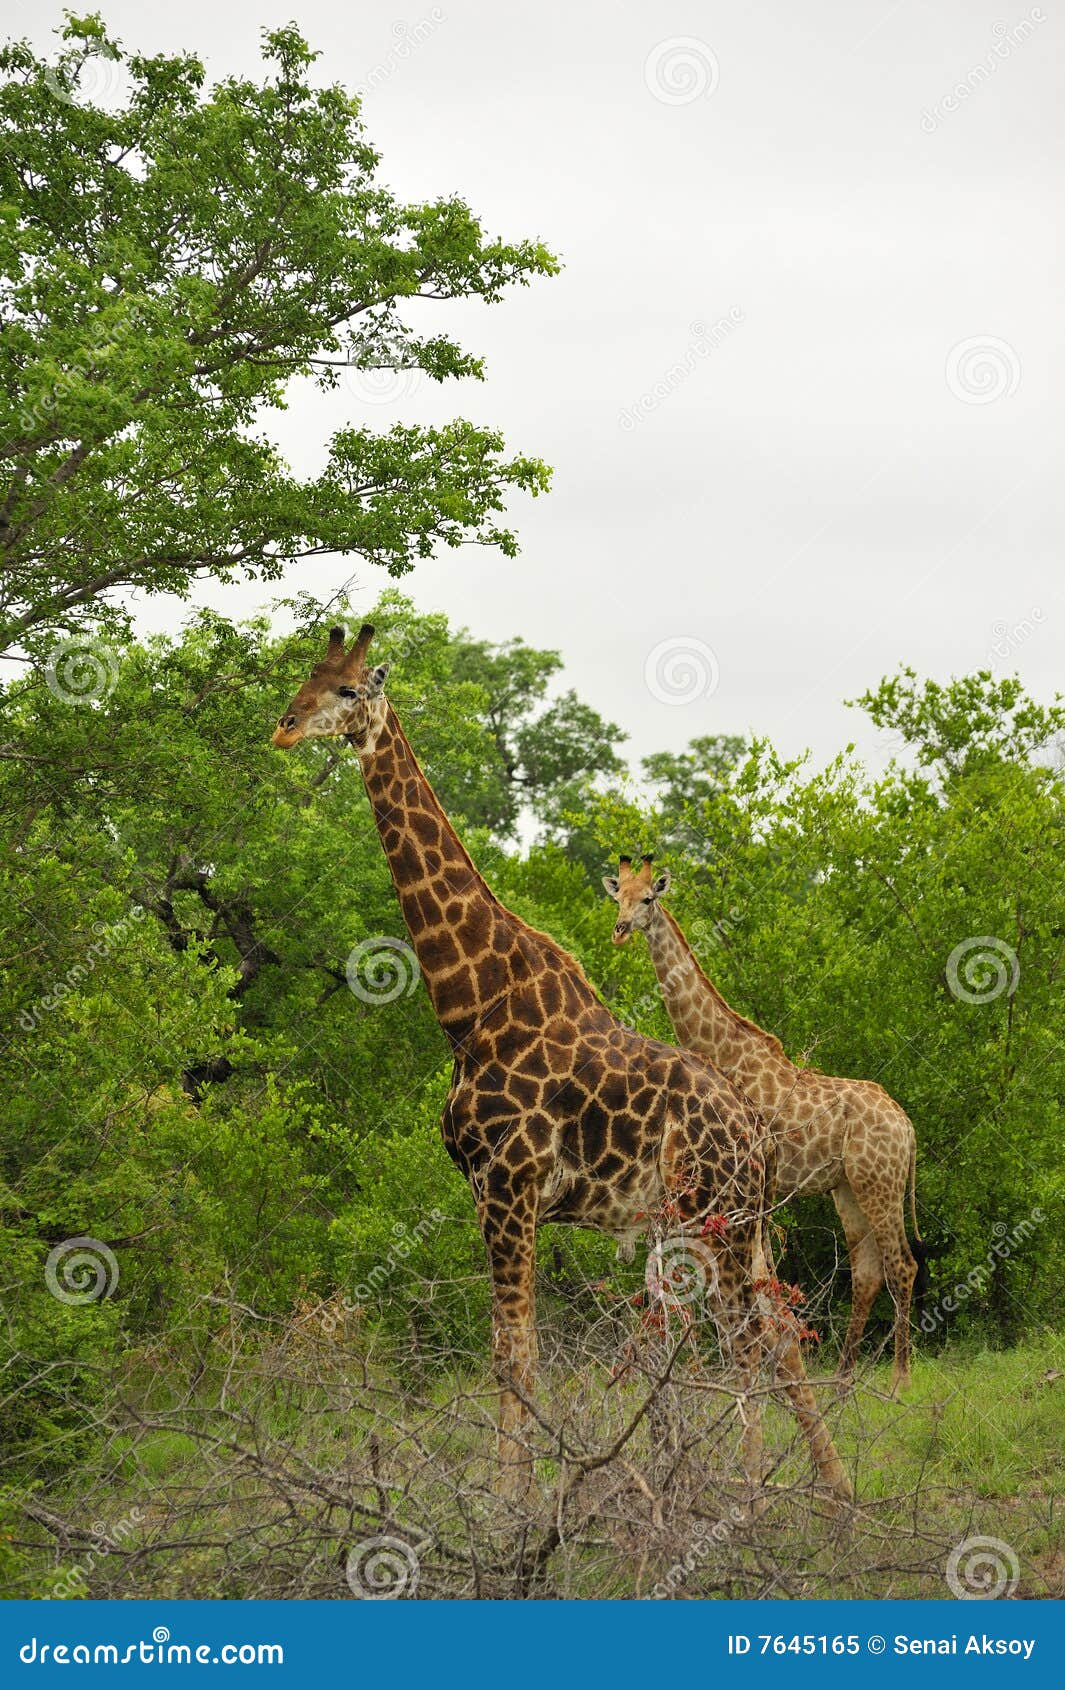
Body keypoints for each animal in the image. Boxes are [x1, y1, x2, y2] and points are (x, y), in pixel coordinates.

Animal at [271, 626, 853, 1502]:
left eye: (348, 689)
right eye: (305, 676)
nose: (283, 726)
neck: (469, 1005)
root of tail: (752, 1131)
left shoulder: (509, 1188)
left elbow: (515, 1355)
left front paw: (509, 1509)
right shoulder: (489, 1193)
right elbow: (518, 1354)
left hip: (713, 1217)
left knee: (746, 1341)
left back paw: (747, 1500)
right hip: (724, 1220)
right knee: (771, 1333)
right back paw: (828, 1496)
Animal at [603, 855, 919, 1394]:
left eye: (648, 897)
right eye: (616, 895)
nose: (622, 930)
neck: (724, 1050)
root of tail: (907, 1126)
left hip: (880, 1182)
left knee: (903, 1264)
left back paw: (899, 1380)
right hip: (848, 1188)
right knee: (868, 1270)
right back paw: (841, 1382)